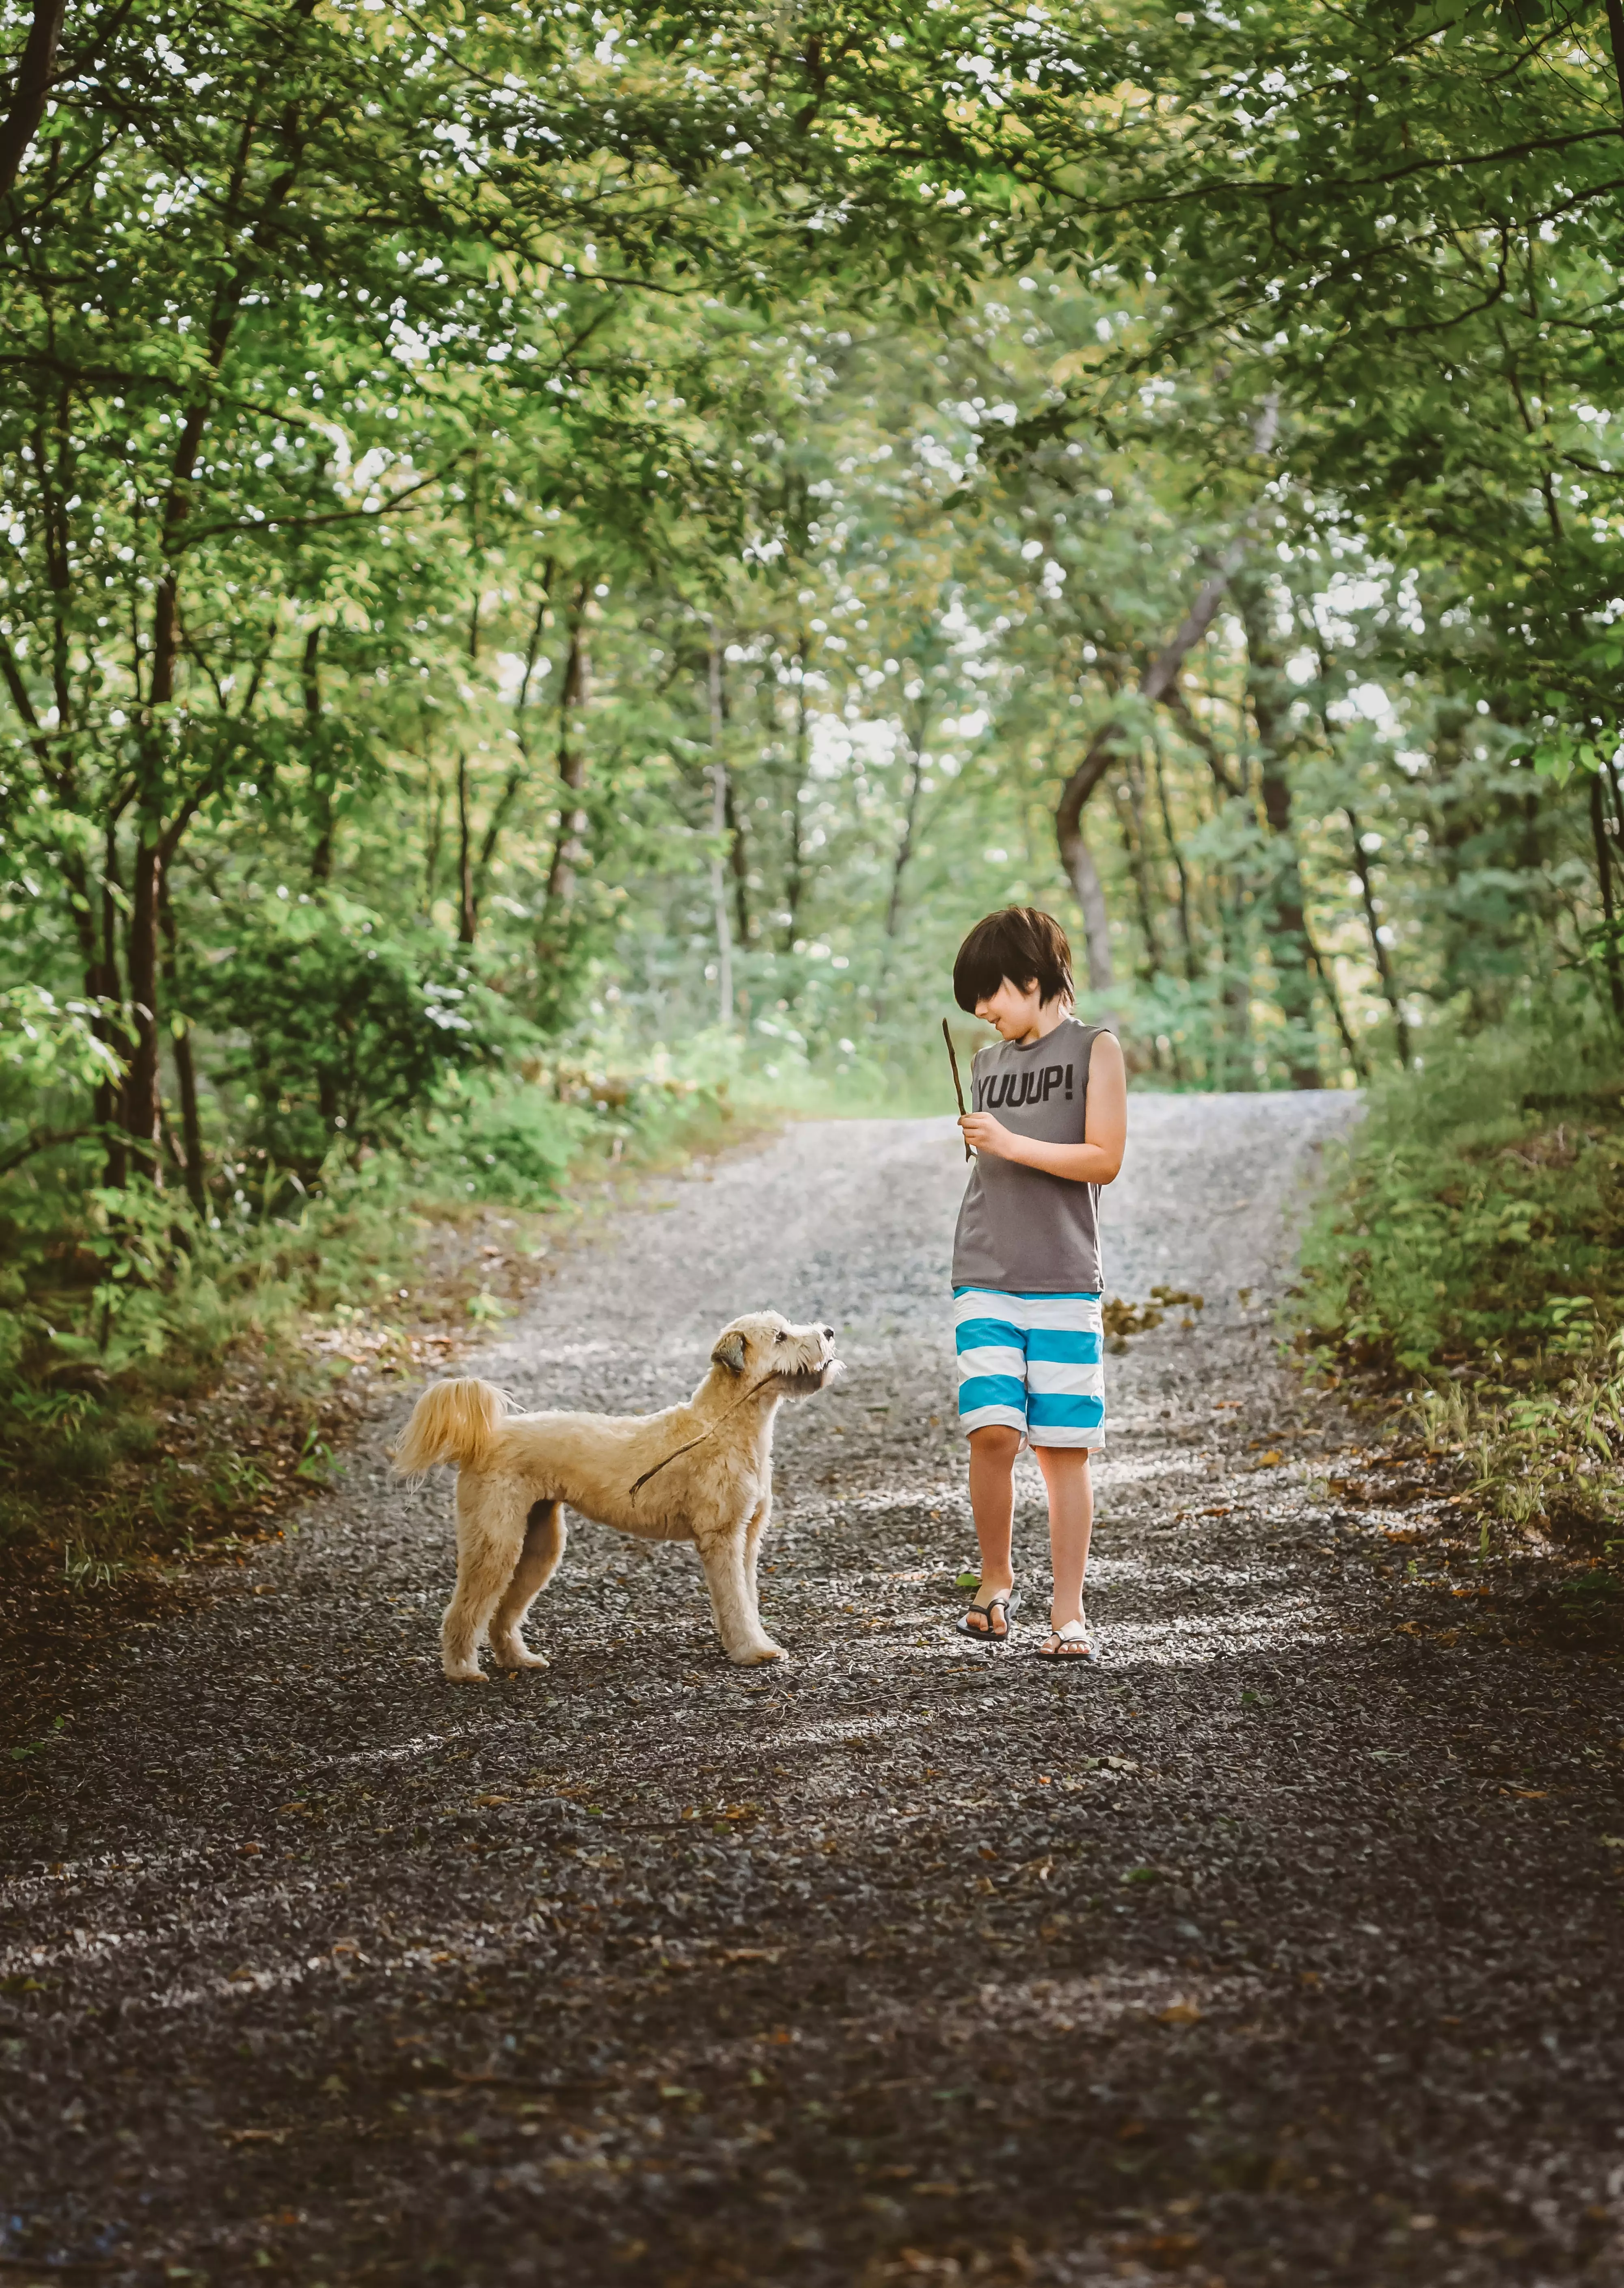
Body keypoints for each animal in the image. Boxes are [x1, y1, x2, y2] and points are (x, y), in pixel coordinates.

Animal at [395, 1308, 846, 1684]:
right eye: (781, 1336)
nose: (829, 1331)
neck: (719, 1426)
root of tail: (484, 1440)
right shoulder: (722, 1539)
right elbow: (736, 1601)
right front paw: (752, 1651)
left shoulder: (747, 1540)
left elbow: (746, 1599)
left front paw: (754, 1643)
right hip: (496, 1544)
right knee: (462, 1612)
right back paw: (462, 1671)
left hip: (539, 1545)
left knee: (501, 1615)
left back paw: (519, 1660)